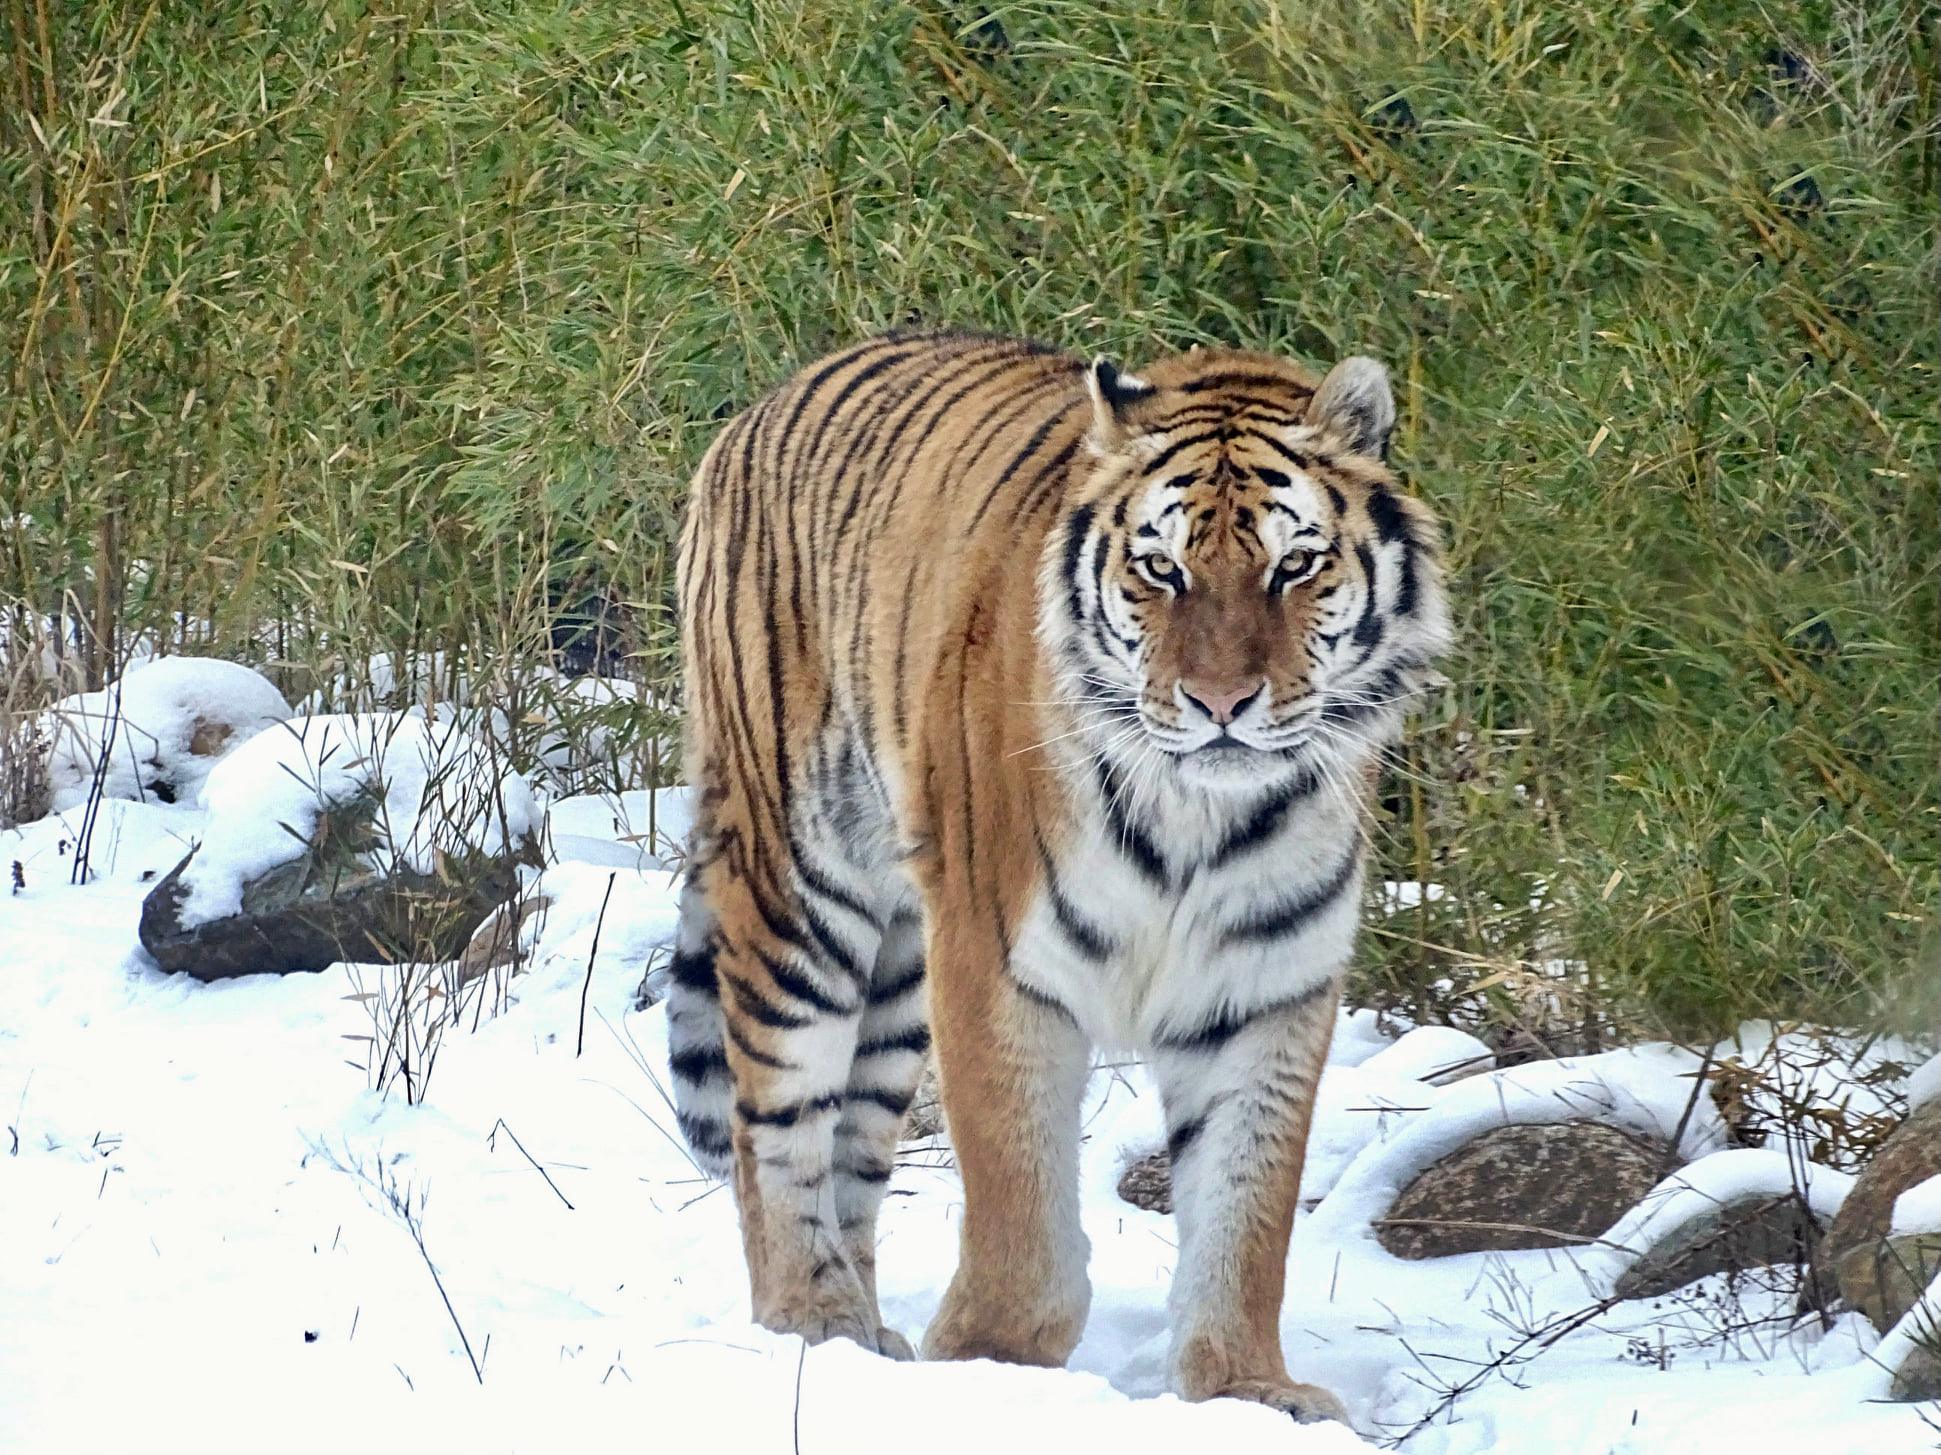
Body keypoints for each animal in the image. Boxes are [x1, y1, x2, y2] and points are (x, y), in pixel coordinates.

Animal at [668, 327, 1450, 1424]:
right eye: (1162, 570)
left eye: (1294, 565)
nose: (1220, 704)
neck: (1199, 811)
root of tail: (761, 406)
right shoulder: (997, 960)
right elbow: (1018, 1193)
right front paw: (993, 1366)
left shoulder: (1264, 984)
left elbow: (1244, 1209)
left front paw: (1244, 1388)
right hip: (801, 888)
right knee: (771, 1118)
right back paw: (809, 1322)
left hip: (899, 968)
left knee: (854, 1138)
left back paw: (864, 1337)